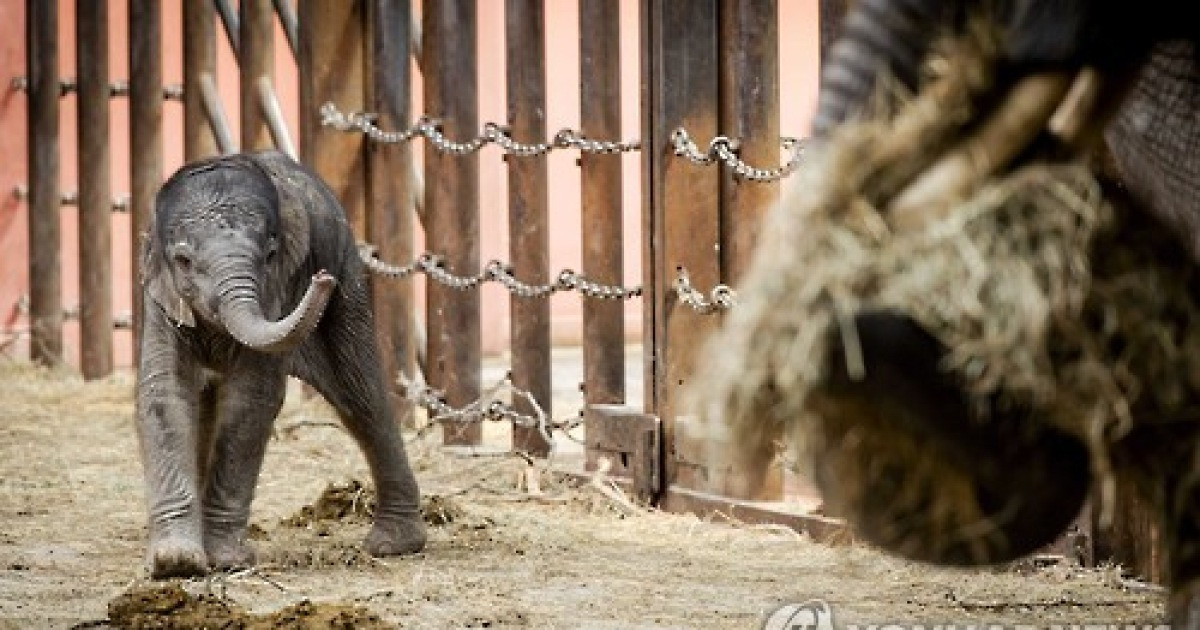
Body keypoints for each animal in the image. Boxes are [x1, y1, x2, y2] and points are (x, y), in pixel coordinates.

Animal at [136, 150, 426, 579]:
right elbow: (165, 394)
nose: (322, 280)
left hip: (348, 272)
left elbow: (251, 399)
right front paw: (178, 563)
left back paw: (393, 545)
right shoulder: (160, 298)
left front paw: (225, 561)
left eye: (270, 257)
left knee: (361, 398)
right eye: (183, 261)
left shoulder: (280, 288)